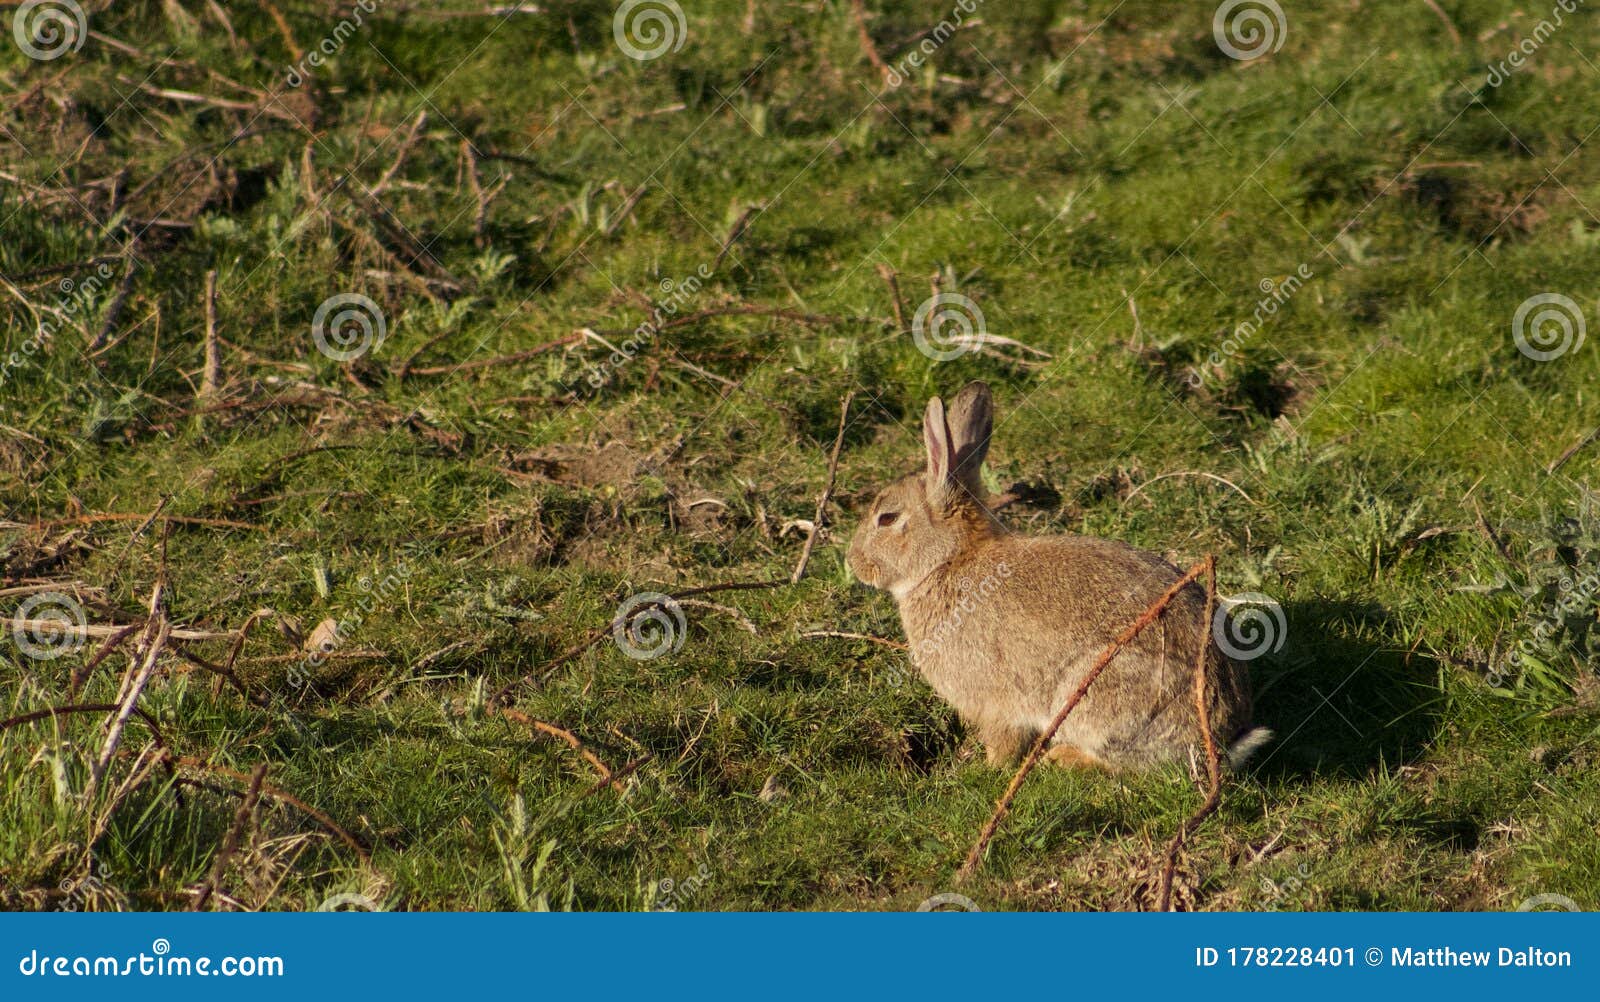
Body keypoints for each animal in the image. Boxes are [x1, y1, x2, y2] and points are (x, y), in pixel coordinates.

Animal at [846, 381, 1270, 772]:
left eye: (887, 518)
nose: (854, 561)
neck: (949, 561)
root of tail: (1221, 738)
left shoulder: (996, 704)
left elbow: (1003, 742)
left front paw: (986, 769)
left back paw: (1061, 757)